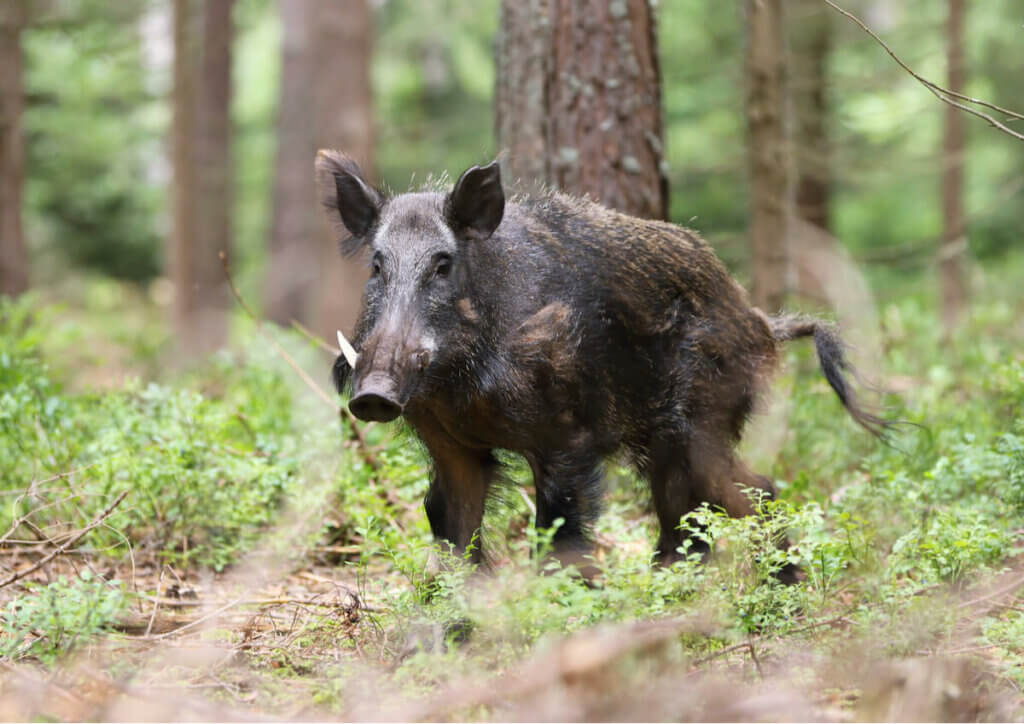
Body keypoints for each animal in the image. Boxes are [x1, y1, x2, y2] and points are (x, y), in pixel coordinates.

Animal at [316, 150, 886, 578]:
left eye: (442, 264)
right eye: (376, 265)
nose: (373, 393)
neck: (462, 388)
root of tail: (762, 321)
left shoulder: (567, 436)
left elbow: (561, 533)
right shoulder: (452, 446)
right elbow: (452, 531)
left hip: (702, 418)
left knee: (754, 489)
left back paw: (784, 587)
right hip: (665, 441)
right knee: (688, 508)